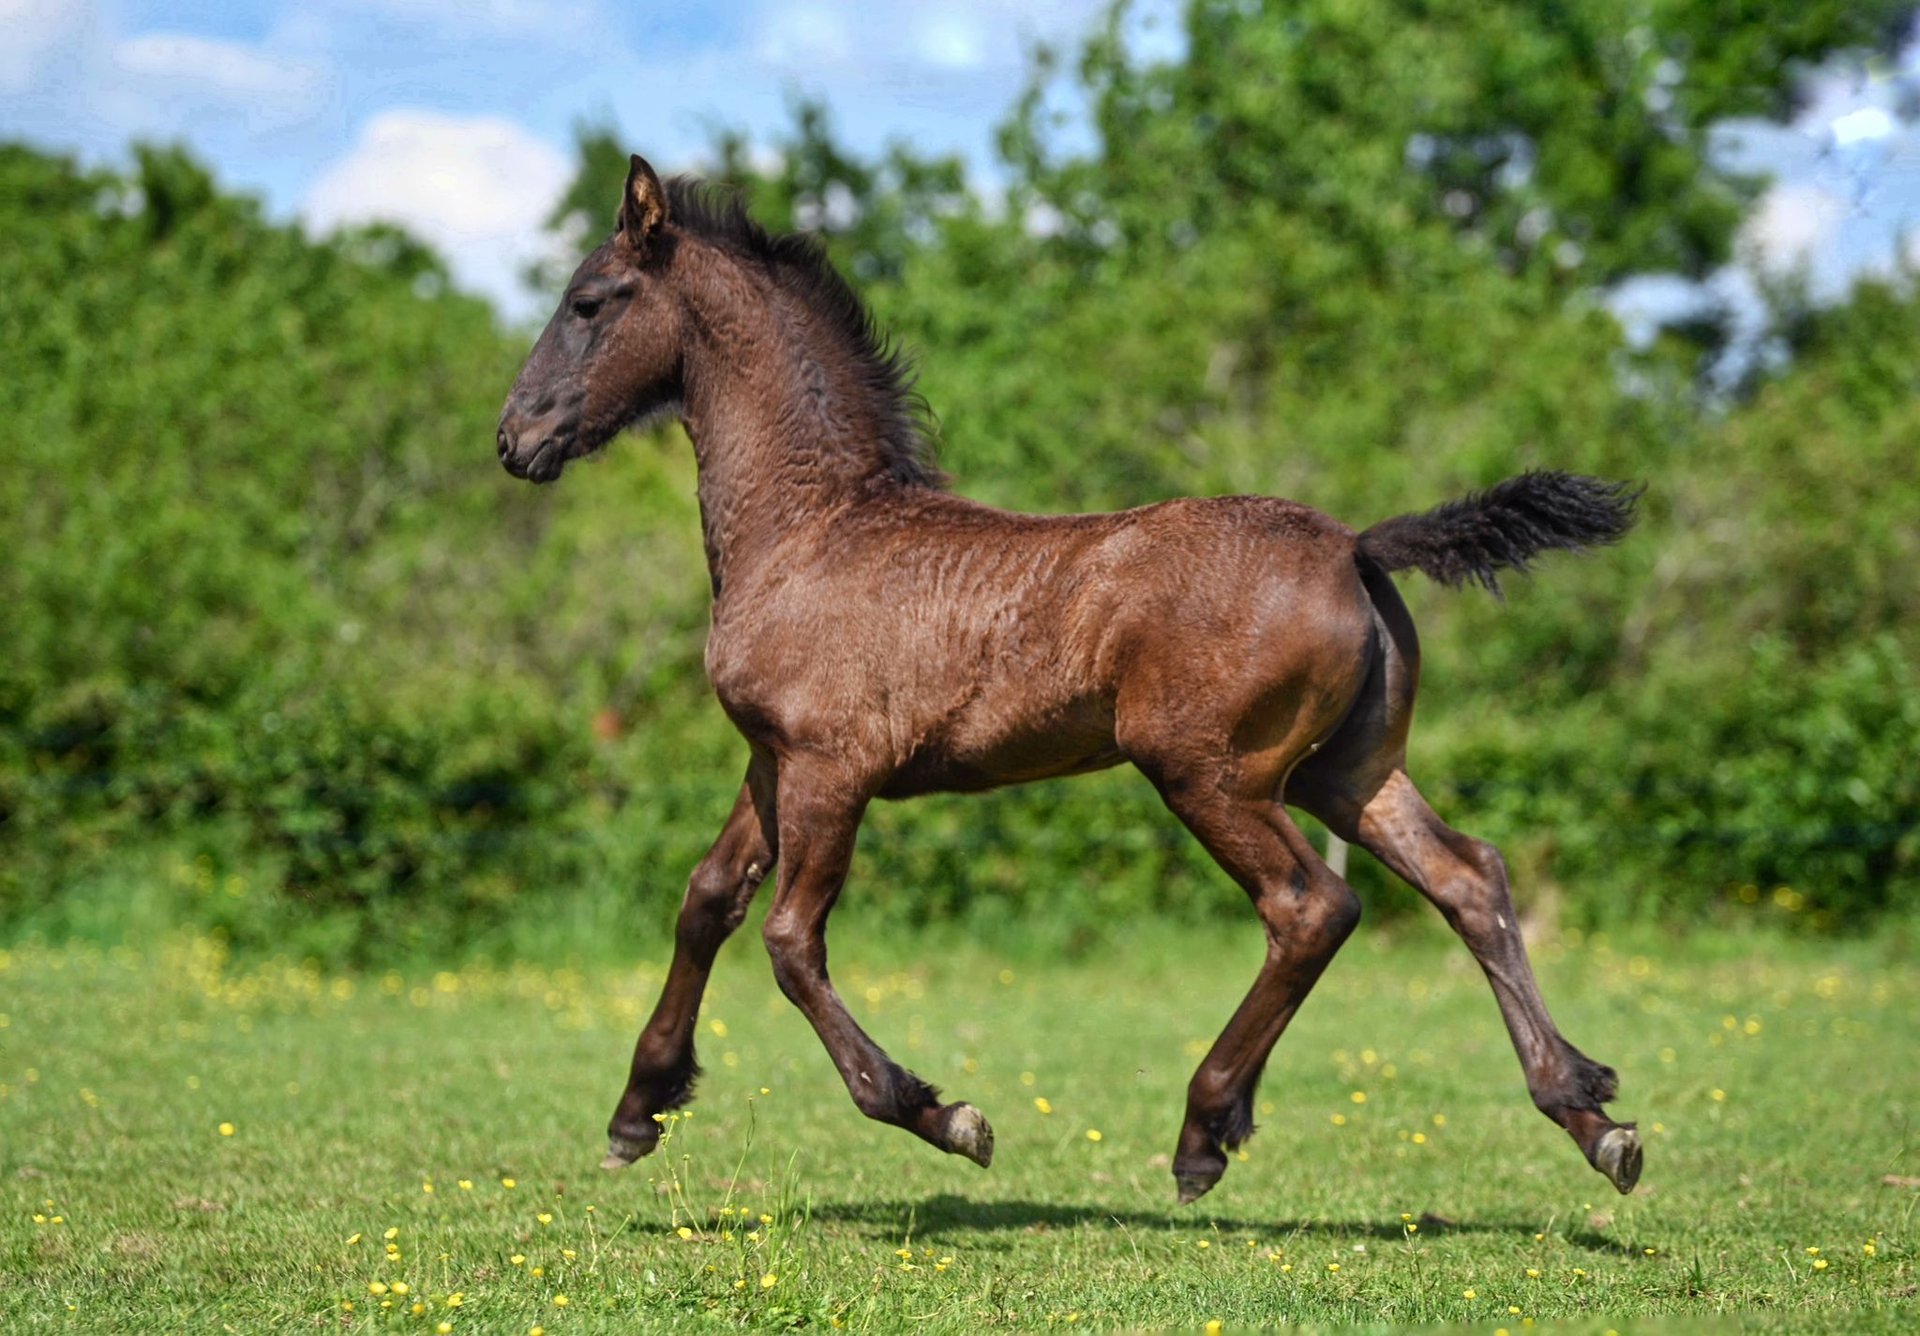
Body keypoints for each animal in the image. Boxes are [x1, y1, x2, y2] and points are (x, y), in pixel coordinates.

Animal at [496, 154, 1643, 1204]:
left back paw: (1205, 1129)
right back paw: (1590, 1113)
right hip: (1345, 772)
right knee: (1469, 878)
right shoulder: (773, 758)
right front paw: (636, 1111)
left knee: (1311, 906)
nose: (516, 439)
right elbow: (706, 899)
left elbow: (788, 941)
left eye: (589, 301)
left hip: (1209, 772)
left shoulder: (831, 766)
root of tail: (1355, 547)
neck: (810, 528)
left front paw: (942, 1114)